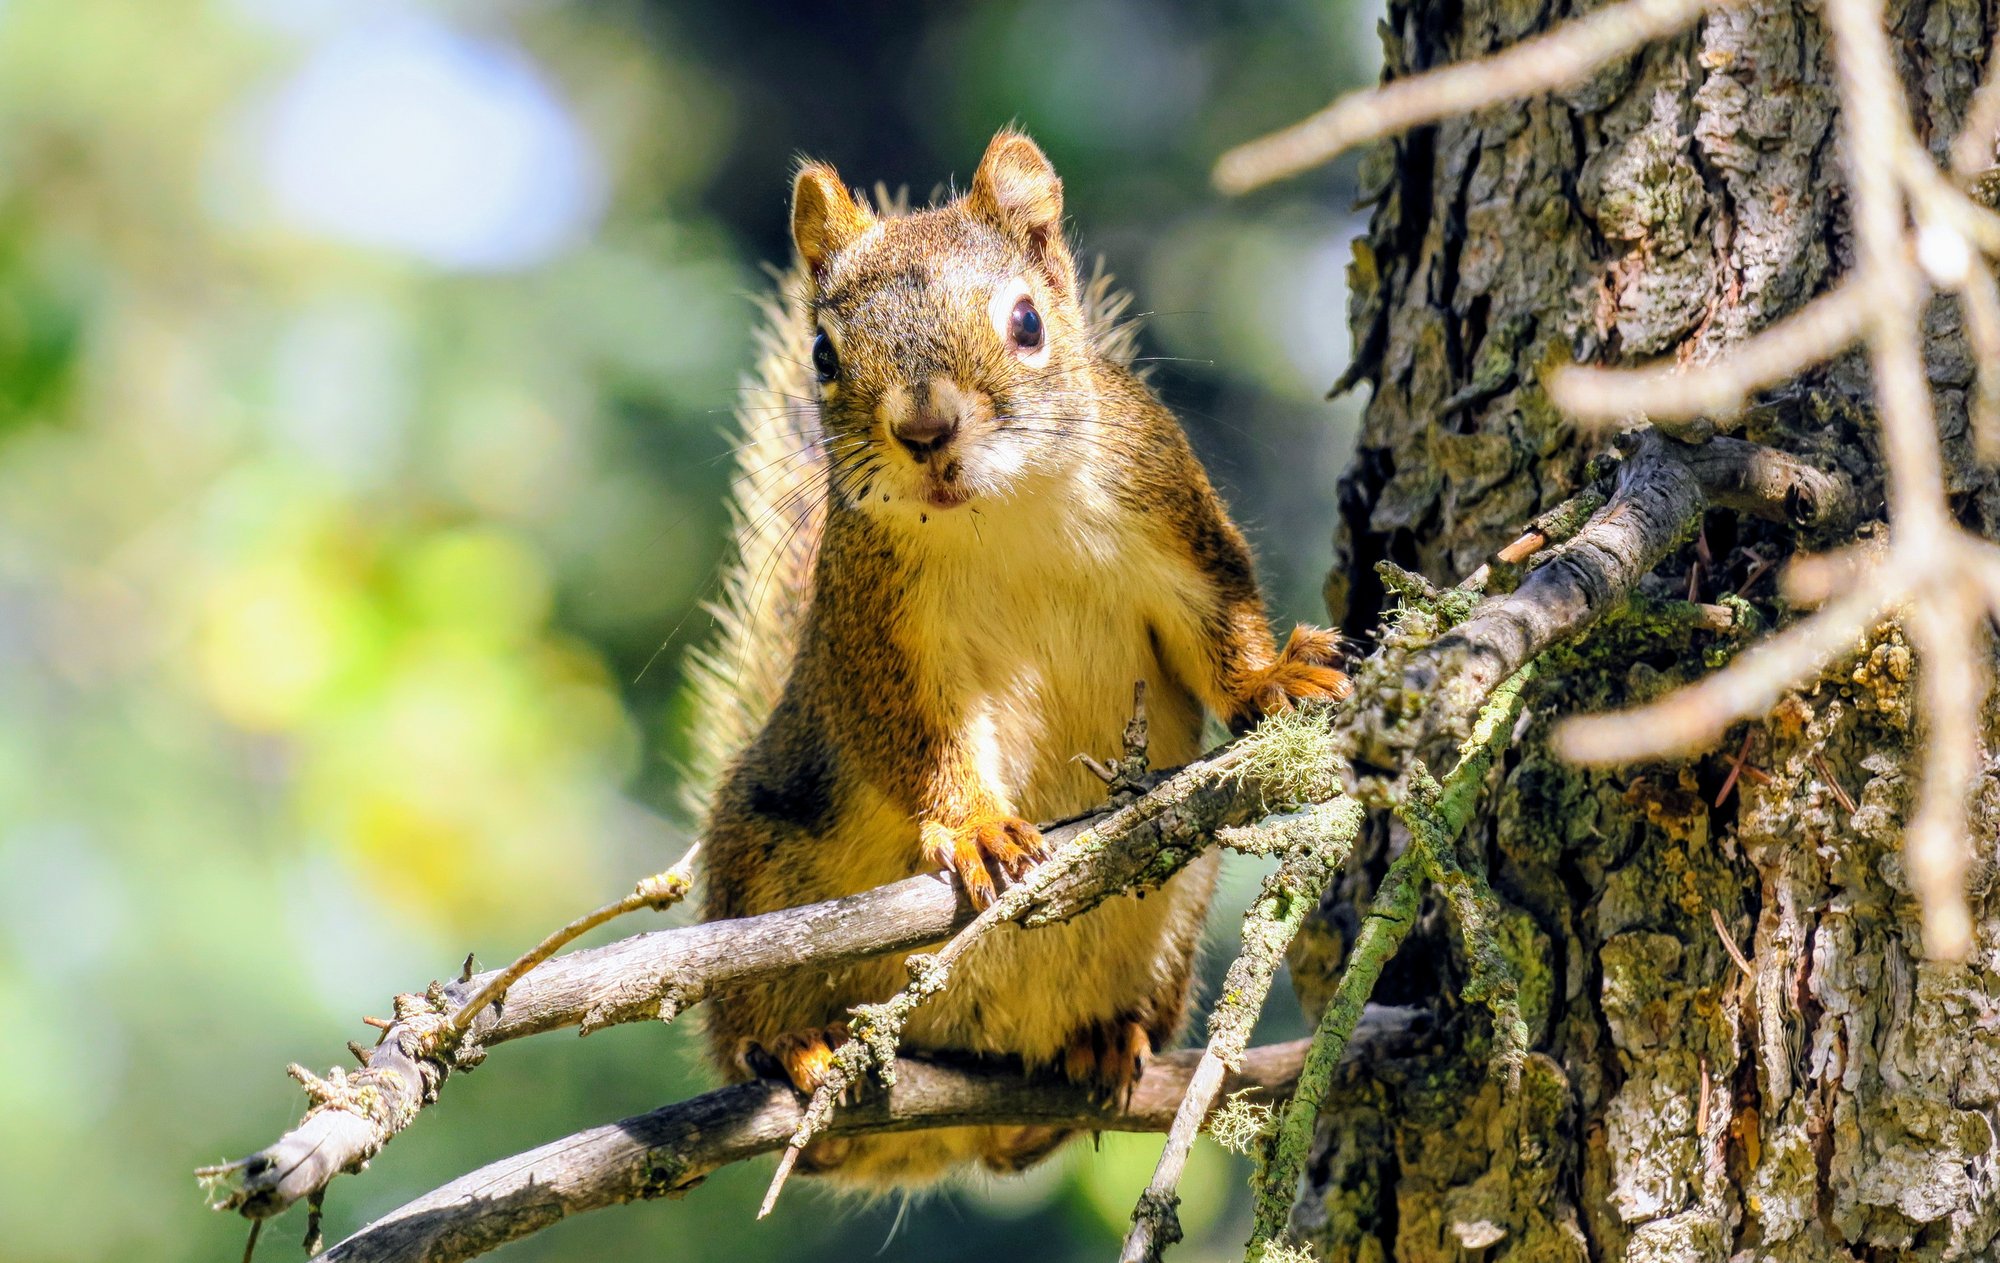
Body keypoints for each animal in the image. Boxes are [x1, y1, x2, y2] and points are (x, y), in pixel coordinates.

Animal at [688, 128, 1350, 1189]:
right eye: (824, 354)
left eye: (1029, 322)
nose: (925, 430)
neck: (999, 514)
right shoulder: (877, 634)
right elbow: (916, 742)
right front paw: (978, 828)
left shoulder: (1168, 510)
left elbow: (1220, 625)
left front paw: (1271, 678)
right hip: (758, 866)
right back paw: (793, 1049)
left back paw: (1099, 1042)